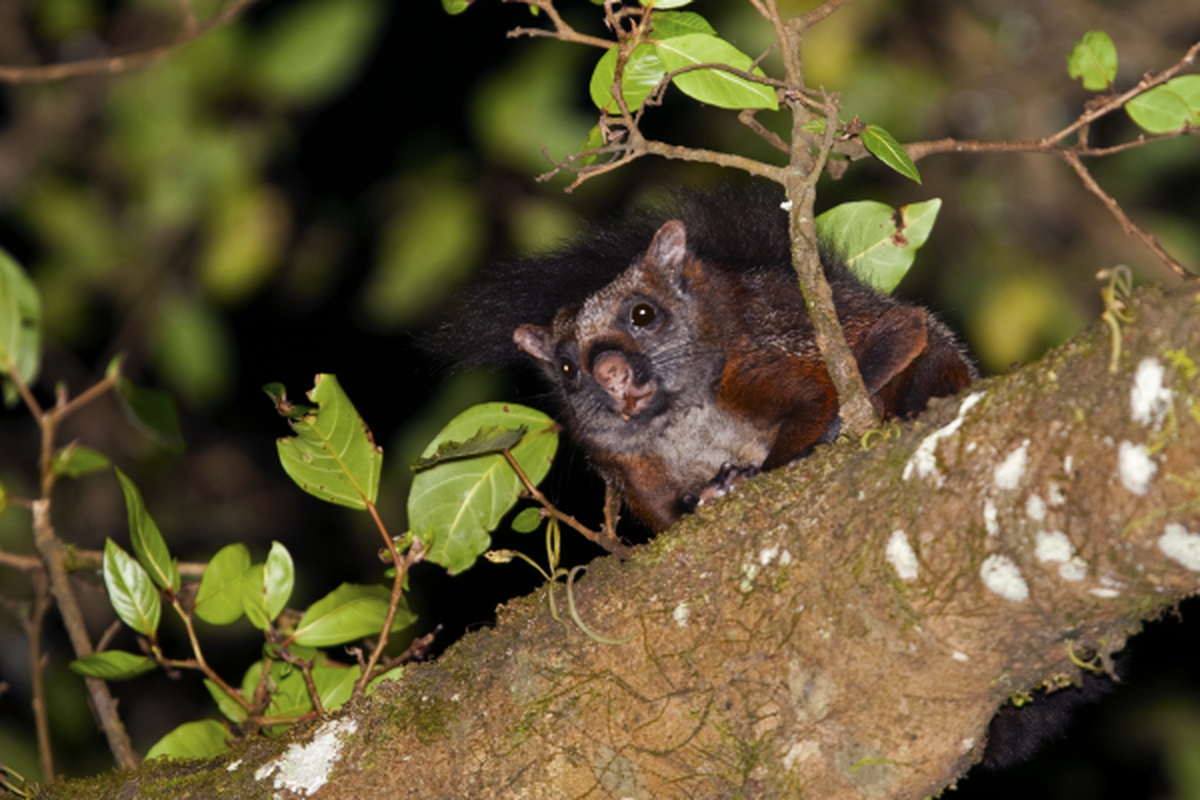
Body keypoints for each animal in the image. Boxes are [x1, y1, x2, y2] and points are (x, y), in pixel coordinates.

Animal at [428, 184, 975, 531]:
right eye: (566, 368)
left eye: (643, 314)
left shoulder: (753, 364)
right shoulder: (627, 465)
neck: (677, 419)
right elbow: (666, 516)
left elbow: (830, 391)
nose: (608, 370)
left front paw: (750, 473)